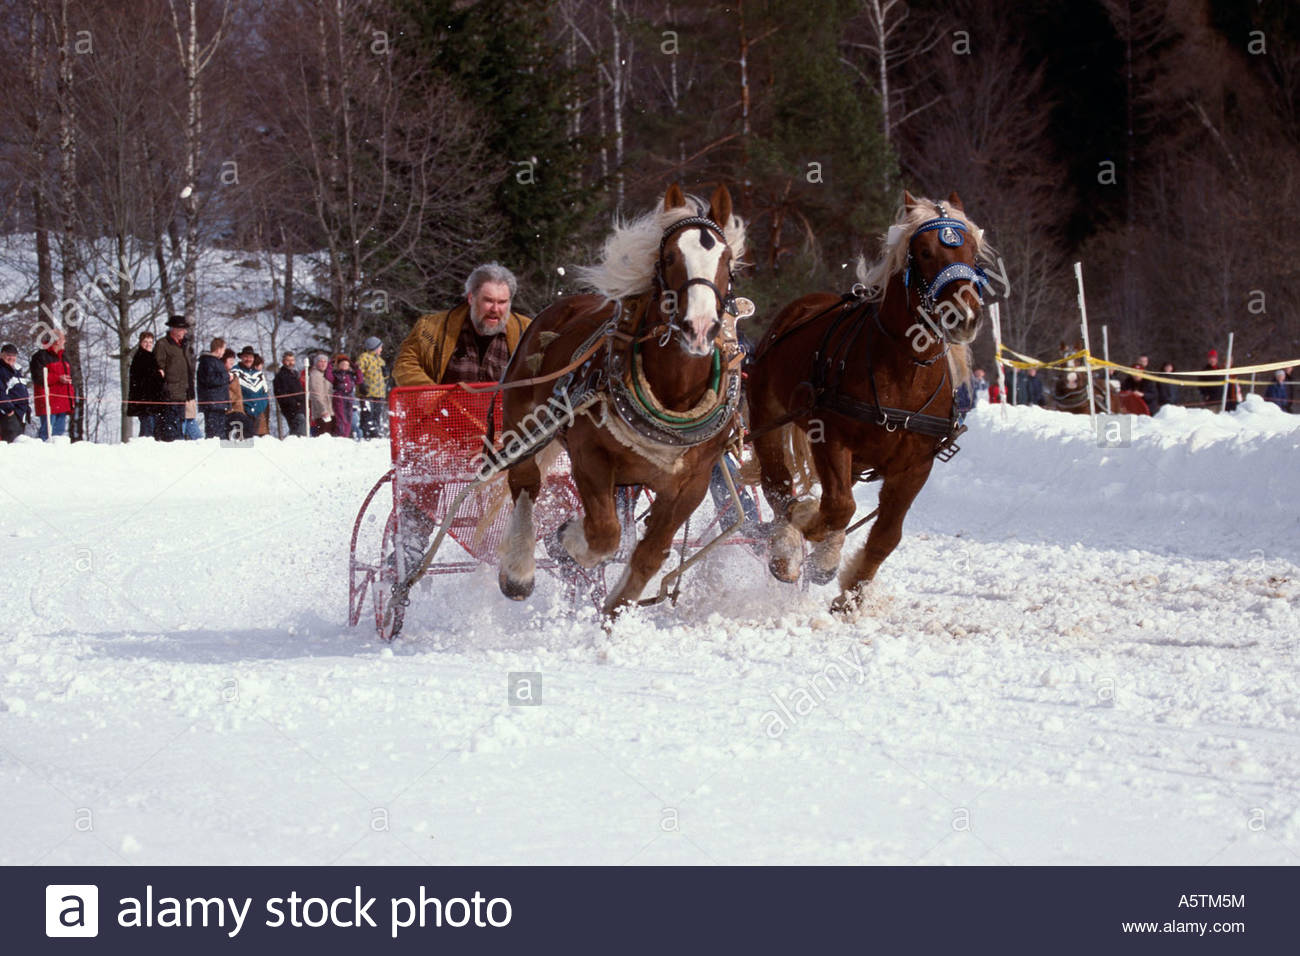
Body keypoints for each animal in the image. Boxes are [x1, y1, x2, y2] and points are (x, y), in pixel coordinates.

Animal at [495, 183, 747, 616]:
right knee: (525, 482)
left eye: (726, 258)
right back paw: (518, 571)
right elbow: (604, 535)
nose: (699, 327)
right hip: (523, 423)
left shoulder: (692, 483)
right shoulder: (590, 456)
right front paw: (567, 538)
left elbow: (649, 554)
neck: (674, 394)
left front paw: (615, 609)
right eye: (669, 257)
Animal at [746, 191, 990, 614]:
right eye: (924, 252)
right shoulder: (831, 439)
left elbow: (886, 534)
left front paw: (850, 595)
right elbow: (837, 508)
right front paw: (813, 536)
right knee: (778, 487)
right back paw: (787, 547)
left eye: (973, 251)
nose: (964, 316)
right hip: (768, 419)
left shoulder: (915, 466)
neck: (904, 370)